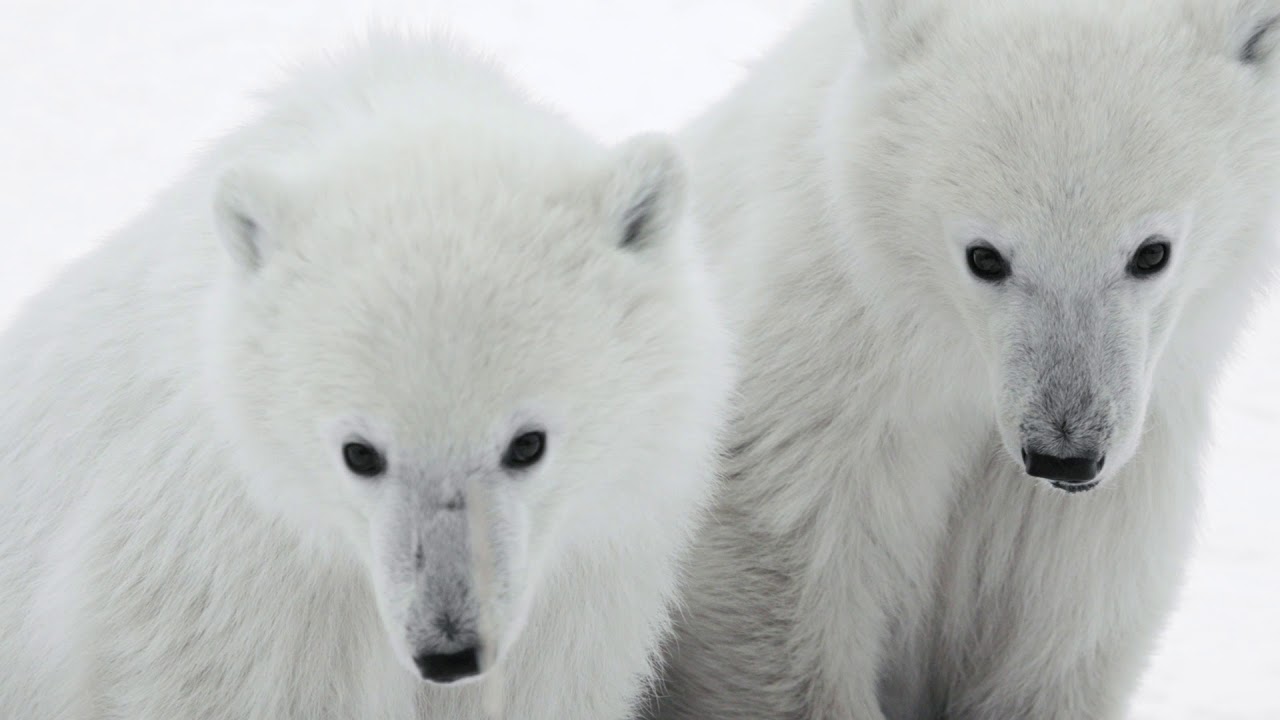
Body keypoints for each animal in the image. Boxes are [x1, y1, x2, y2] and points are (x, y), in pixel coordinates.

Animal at [643, 1, 1280, 719]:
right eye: (985, 256)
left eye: (1151, 252)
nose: (1064, 454)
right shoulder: (827, 375)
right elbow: (784, 582)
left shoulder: (1110, 482)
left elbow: (1055, 630)